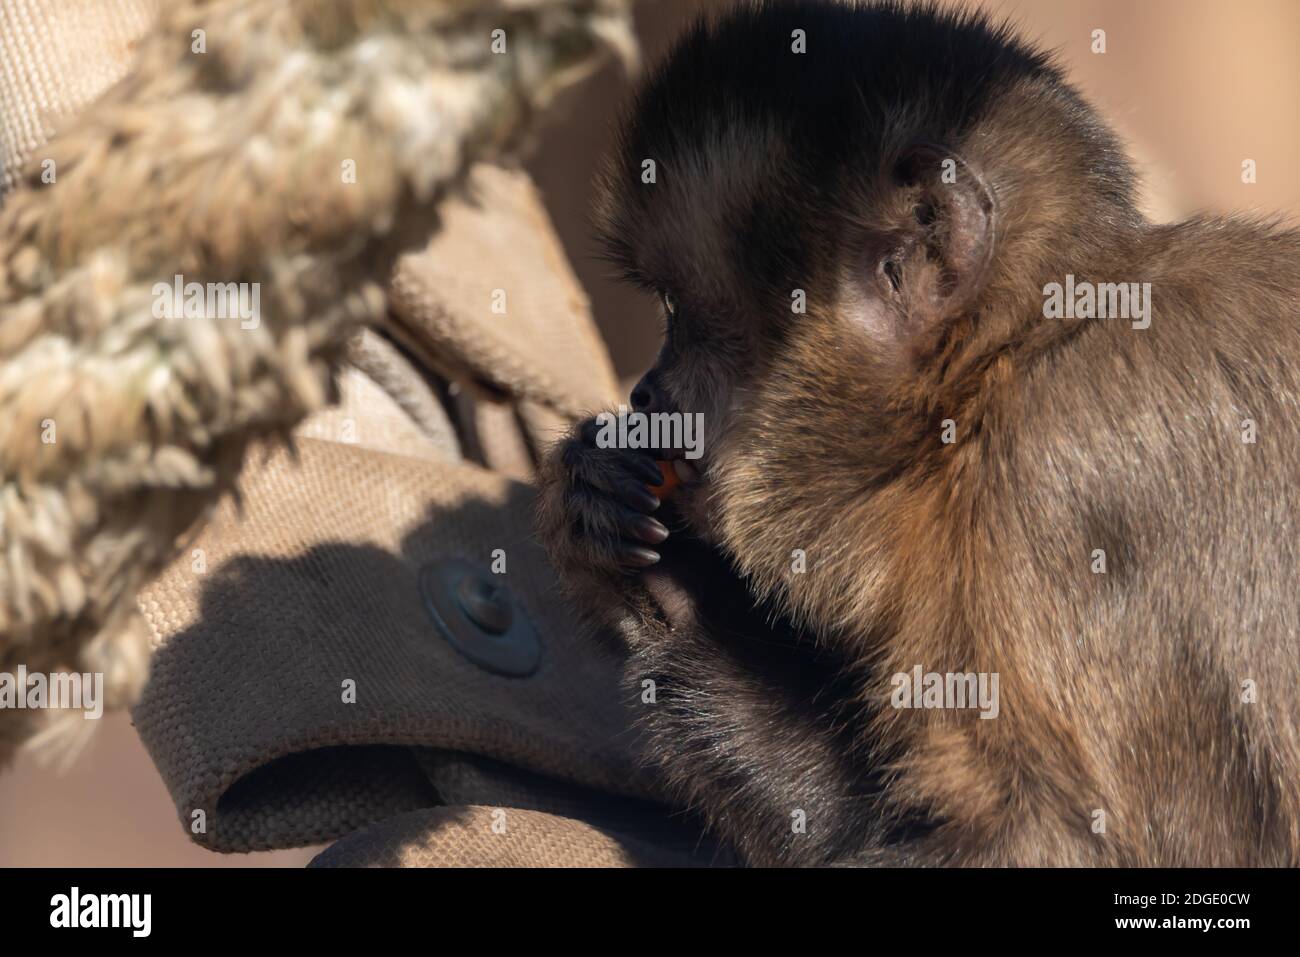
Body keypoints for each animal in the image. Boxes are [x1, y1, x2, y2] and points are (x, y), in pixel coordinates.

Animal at [536, 0, 1300, 866]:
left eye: (677, 314)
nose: (645, 389)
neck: (994, 381)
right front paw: (653, 566)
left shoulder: (1071, 485)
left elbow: (1063, 840)